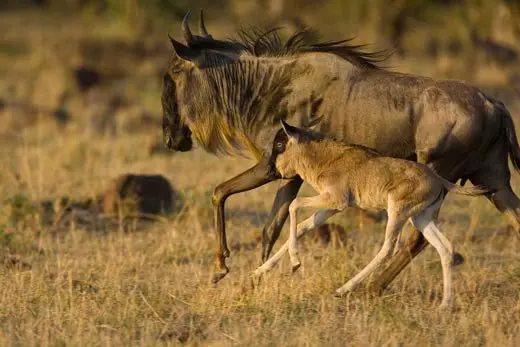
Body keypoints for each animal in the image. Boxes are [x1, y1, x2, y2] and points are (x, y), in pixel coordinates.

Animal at [254, 121, 490, 308]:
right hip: (421, 218)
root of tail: (438, 178)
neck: (327, 158)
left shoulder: (336, 200)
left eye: (279, 144)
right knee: (445, 247)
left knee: (388, 248)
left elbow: (294, 205)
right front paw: (259, 272)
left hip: (397, 212)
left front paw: (295, 262)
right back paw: (445, 304)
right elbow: (304, 226)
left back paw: (343, 289)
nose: (270, 171)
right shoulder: (332, 207)